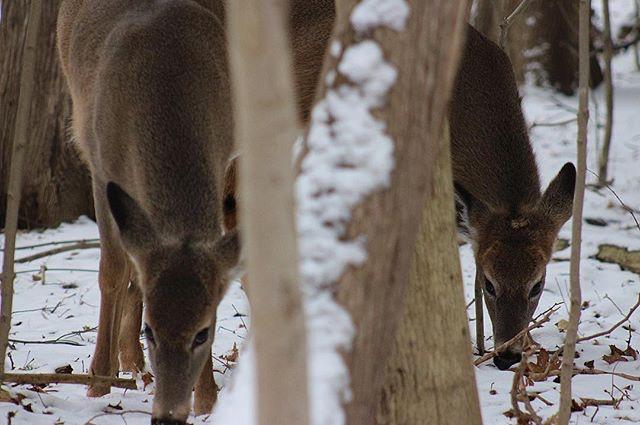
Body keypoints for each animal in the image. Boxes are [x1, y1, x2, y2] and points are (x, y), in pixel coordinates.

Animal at [56, 0, 332, 423]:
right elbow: (113, 271)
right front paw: (98, 382)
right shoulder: (101, 170)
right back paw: (124, 365)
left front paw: (207, 399)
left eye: (204, 331)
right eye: (151, 330)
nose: (169, 413)